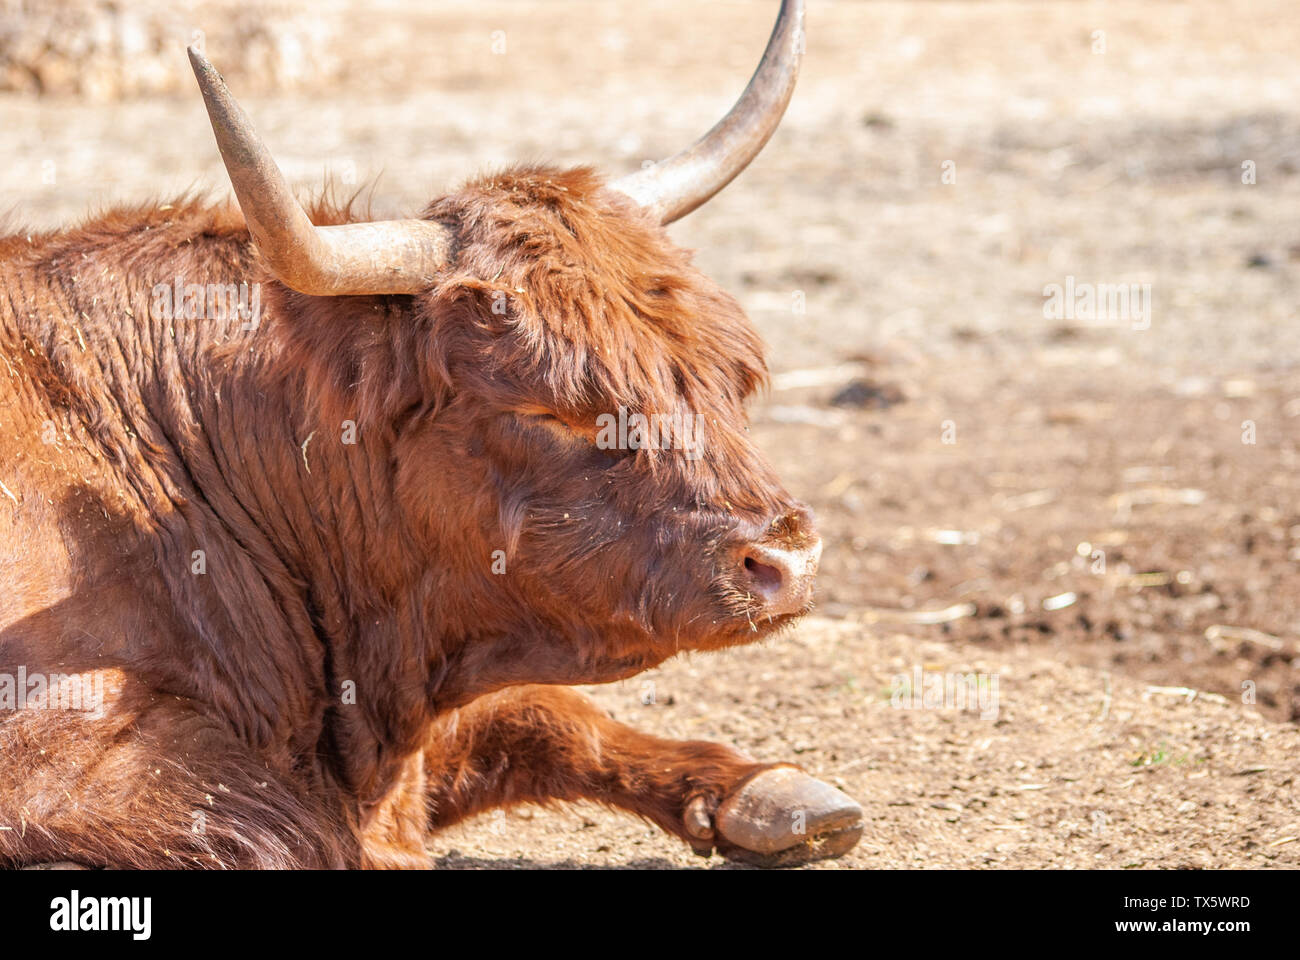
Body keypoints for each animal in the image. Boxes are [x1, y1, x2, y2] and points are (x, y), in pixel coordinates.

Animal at [0, 0, 863, 869]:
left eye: (729, 374)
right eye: (543, 410)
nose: (787, 558)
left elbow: (545, 713)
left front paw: (769, 792)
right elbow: (293, 830)